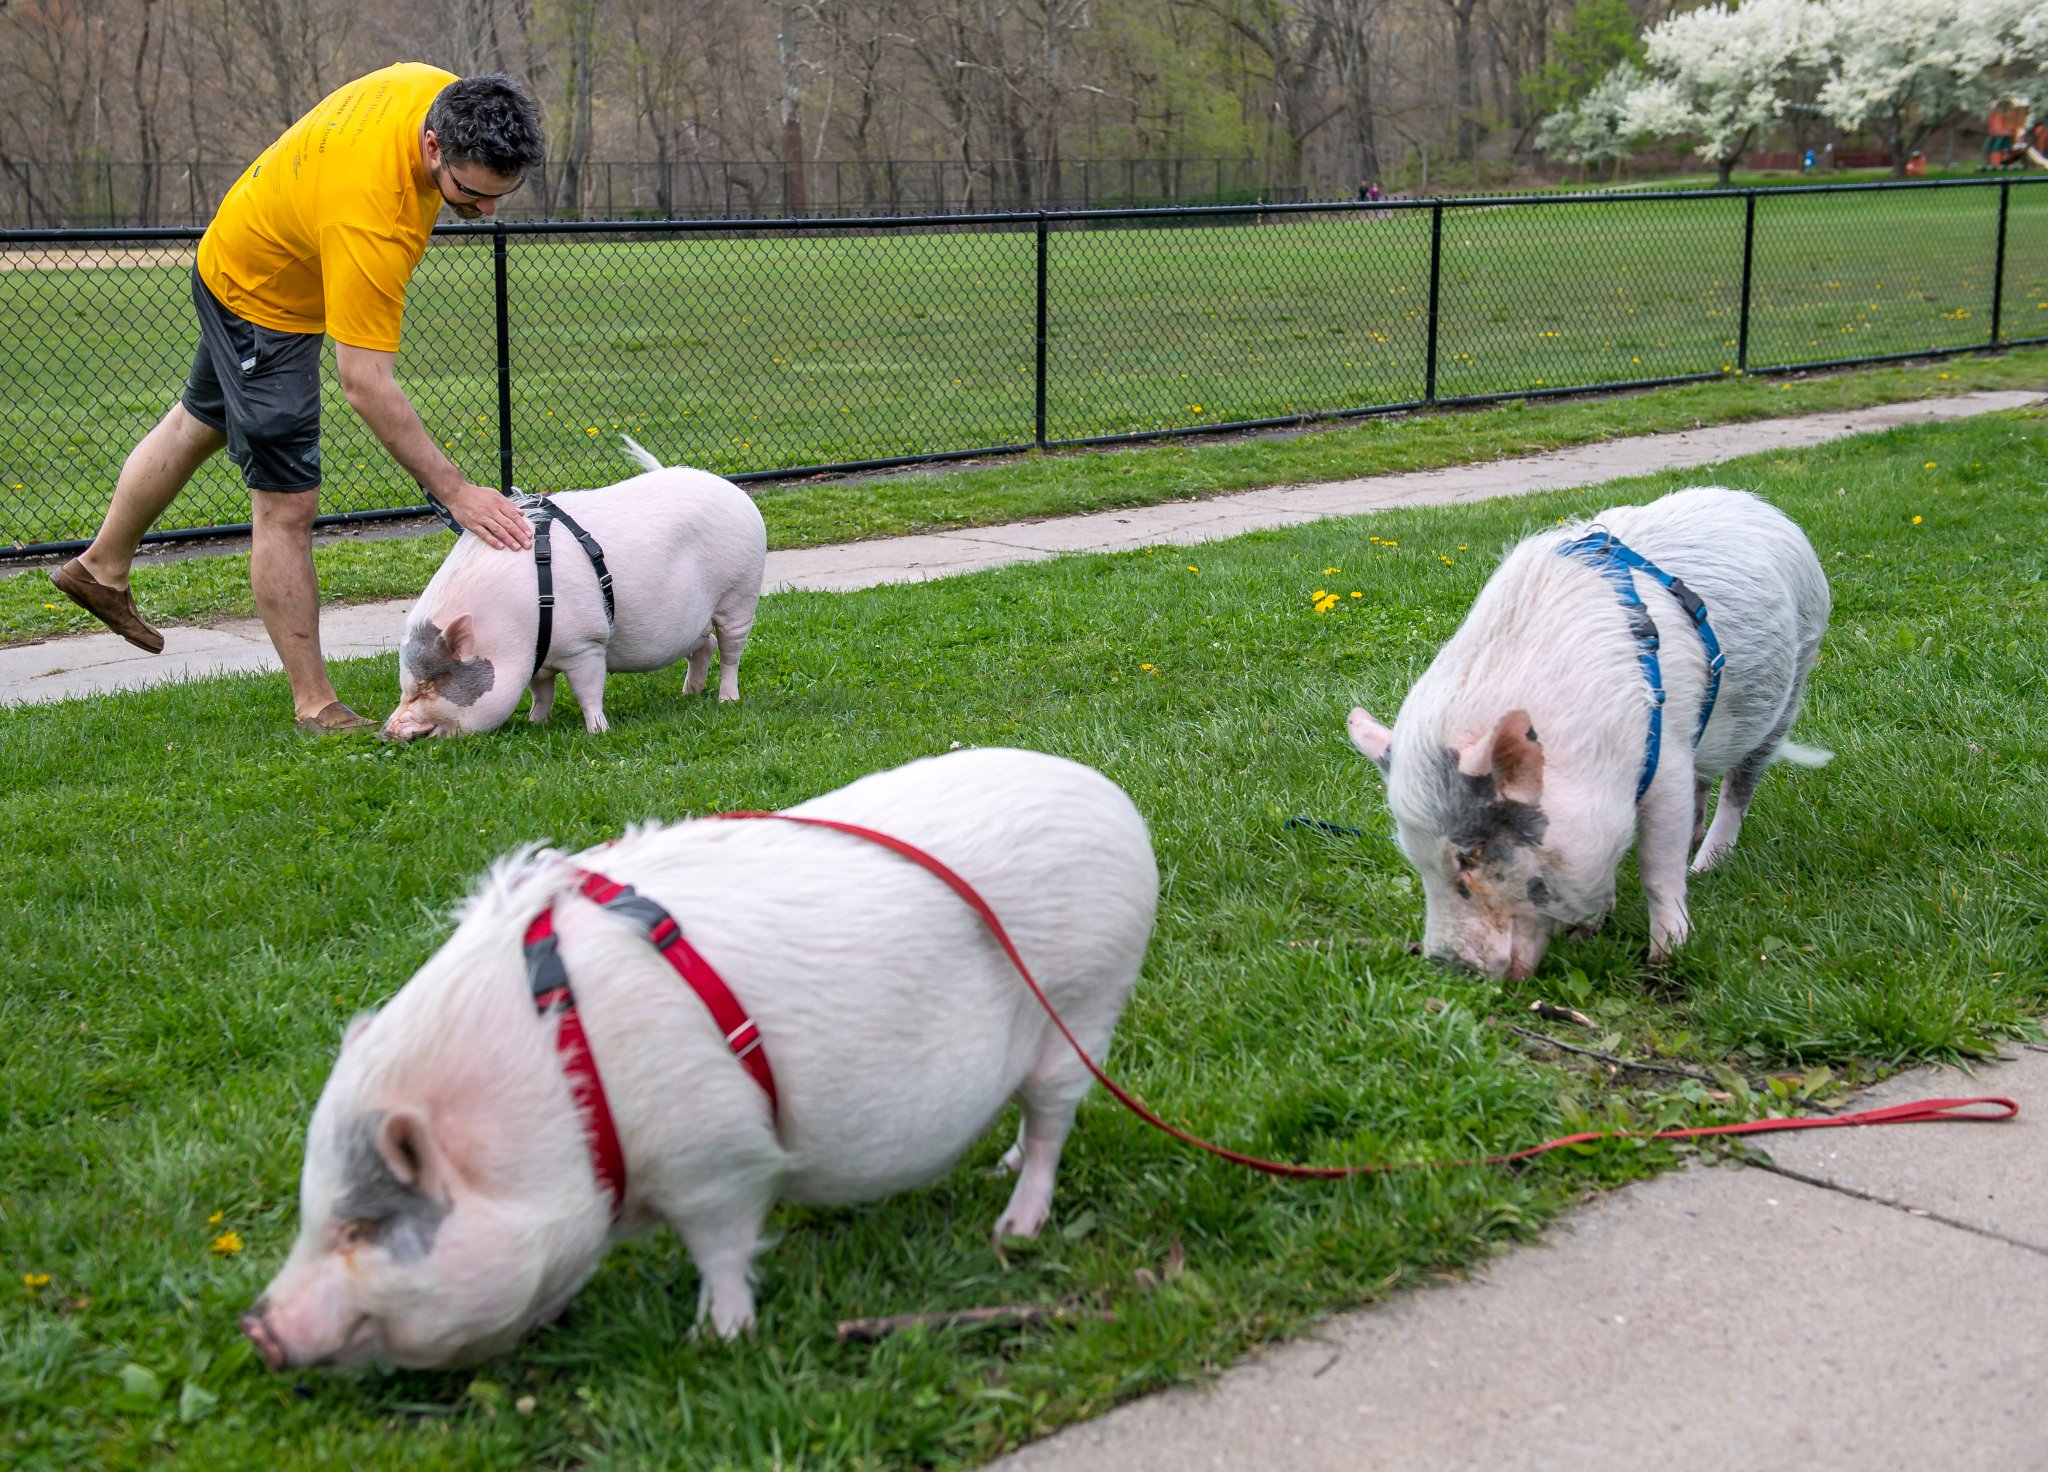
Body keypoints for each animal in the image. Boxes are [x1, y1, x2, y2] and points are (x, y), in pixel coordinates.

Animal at [242, 746, 1158, 1370]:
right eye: (312, 1211)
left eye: (363, 1227)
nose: (257, 1327)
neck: (561, 1110)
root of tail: (1115, 800)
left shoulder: (717, 1159)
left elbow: (721, 1249)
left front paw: (714, 1340)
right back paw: (997, 1167)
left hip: (1085, 1001)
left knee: (1052, 1125)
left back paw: (1014, 1227)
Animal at [383, 438, 766, 739]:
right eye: (406, 684)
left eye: (431, 683)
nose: (386, 732)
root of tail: (735, 492)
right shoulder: (538, 657)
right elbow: (541, 692)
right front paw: (536, 723)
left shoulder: (587, 644)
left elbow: (588, 691)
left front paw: (598, 731)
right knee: (705, 645)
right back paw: (688, 696)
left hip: (741, 593)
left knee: (731, 651)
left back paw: (726, 700)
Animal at [1346, 485, 1830, 980]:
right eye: (1415, 858)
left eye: (1473, 855)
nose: (1447, 967)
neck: (1590, 757)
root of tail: (1760, 507)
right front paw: (1587, 933)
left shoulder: (1667, 760)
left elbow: (1657, 869)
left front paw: (1665, 957)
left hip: (1796, 675)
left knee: (1739, 786)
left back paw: (1704, 866)